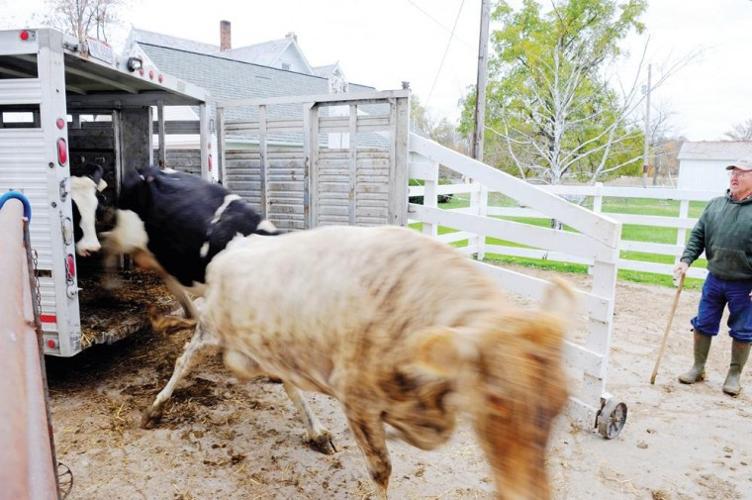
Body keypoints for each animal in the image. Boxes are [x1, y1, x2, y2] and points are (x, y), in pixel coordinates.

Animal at [102, 165, 278, 320]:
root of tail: (147, 170)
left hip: (164, 255)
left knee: (171, 280)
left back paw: (192, 314)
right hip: (126, 233)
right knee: (107, 242)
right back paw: (109, 285)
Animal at [145, 225, 573, 499]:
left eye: (562, 401)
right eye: (496, 403)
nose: (528, 495)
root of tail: (236, 245)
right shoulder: (358, 402)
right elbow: (381, 469)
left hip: (272, 343)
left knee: (280, 378)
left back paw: (315, 431)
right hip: (213, 328)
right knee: (186, 358)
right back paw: (156, 407)